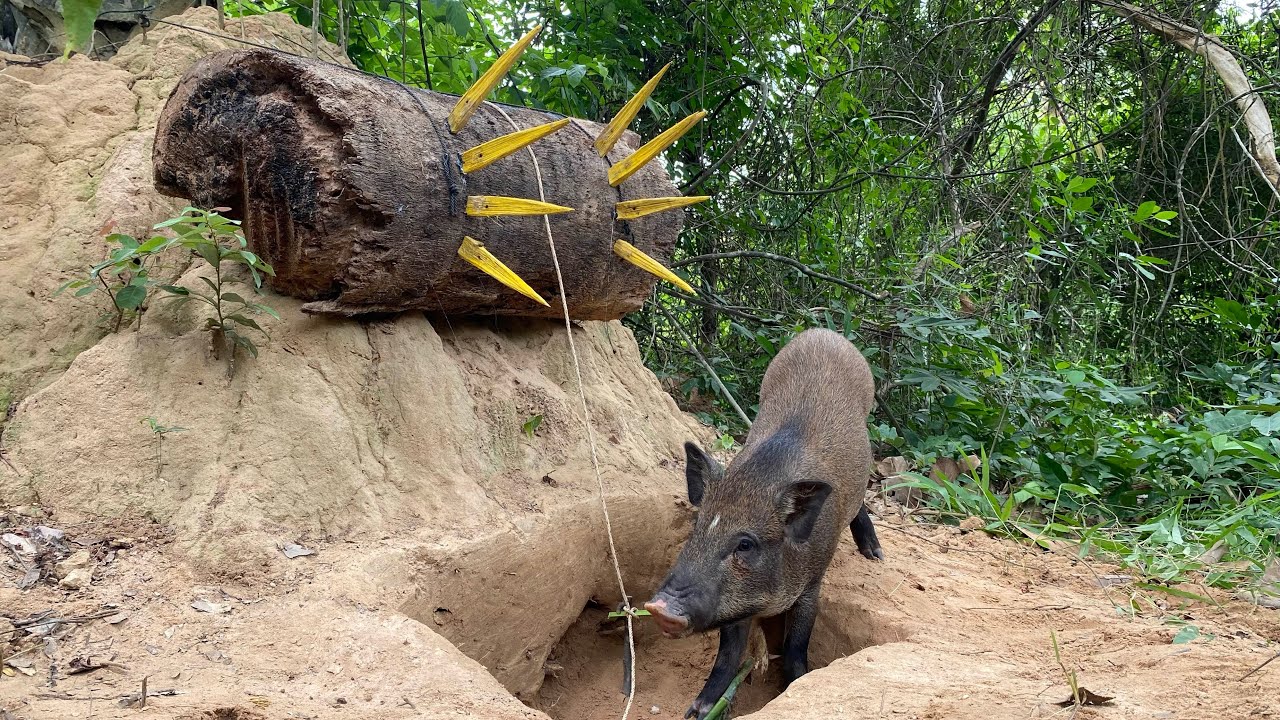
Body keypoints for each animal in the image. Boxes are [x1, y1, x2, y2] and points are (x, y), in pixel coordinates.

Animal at [644, 328, 883, 719]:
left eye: (745, 544)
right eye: (698, 527)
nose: (659, 608)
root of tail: (824, 333)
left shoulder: (812, 584)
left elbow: (796, 645)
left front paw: (795, 688)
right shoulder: (735, 608)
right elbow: (727, 653)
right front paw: (698, 710)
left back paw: (875, 555)